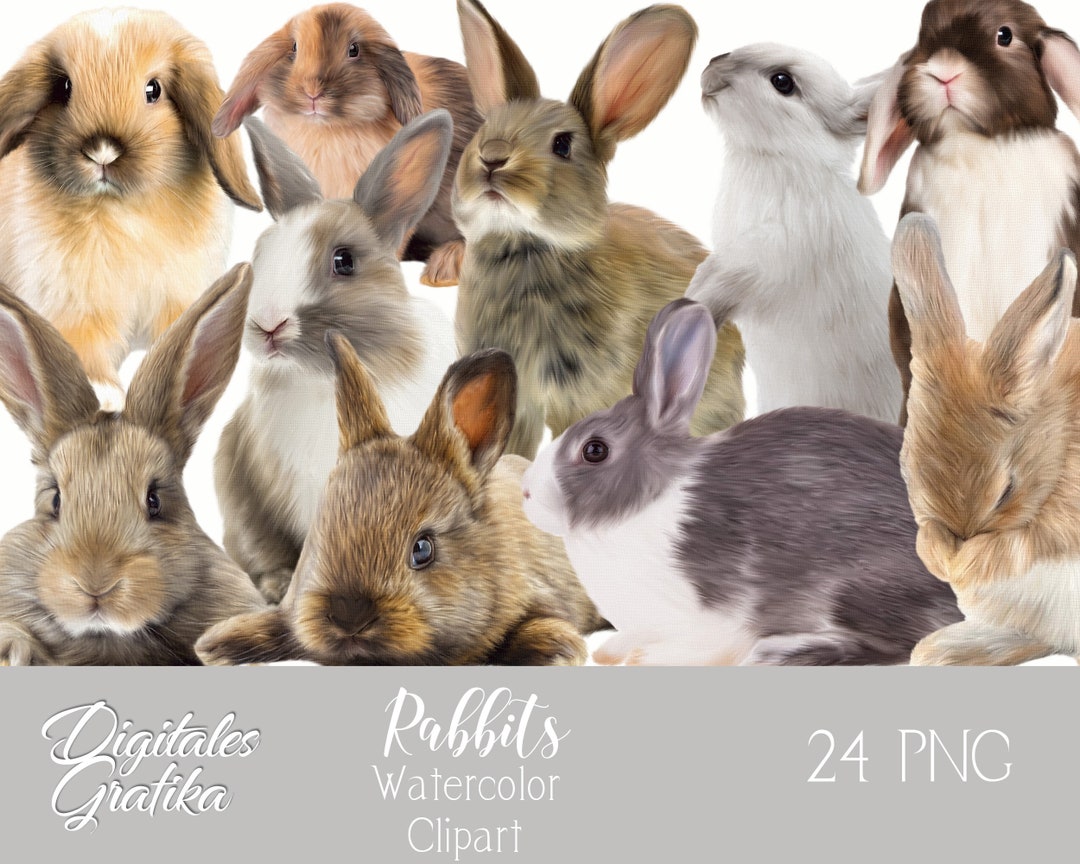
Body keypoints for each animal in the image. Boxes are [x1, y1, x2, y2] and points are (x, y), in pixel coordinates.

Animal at [0, 8, 262, 410]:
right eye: (64, 87)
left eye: (154, 90)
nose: (103, 151)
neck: (124, 211)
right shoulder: (72, 305)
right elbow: (84, 348)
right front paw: (106, 394)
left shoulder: (179, 296)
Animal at [520, 298, 961, 666]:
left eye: (595, 450)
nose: (525, 491)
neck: (651, 502)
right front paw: (612, 651)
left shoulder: (714, 611)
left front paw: (646, 659)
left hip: (856, 589)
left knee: (901, 643)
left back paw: (781, 653)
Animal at [687, 44, 901, 422]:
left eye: (783, 82)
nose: (713, 66)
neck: (777, 156)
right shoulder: (729, 255)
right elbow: (708, 272)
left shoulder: (767, 259)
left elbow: (726, 287)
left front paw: (695, 311)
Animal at [892, 213, 1080, 665]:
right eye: (906, 469)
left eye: (1006, 490)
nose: (959, 543)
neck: (1058, 438)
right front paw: (940, 557)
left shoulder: (1057, 526)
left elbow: (1017, 548)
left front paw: (967, 564)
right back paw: (943, 650)